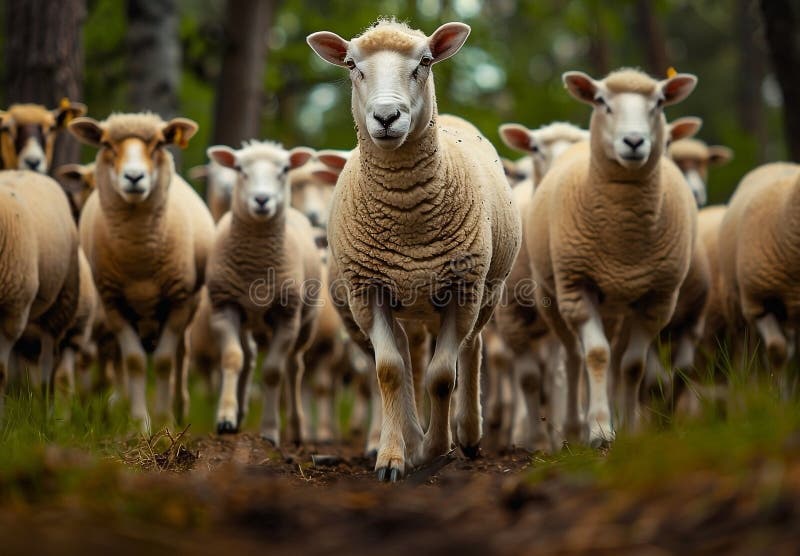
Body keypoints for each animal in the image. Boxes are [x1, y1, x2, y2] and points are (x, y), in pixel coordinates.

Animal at [68, 112, 215, 429]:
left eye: (159, 143)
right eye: (106, 144)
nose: (134, 177)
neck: (139, 260)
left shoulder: (178, 300)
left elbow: (164, 362)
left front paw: (165, 422)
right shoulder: (113, 303)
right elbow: (134, 361)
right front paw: (138, 424)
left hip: (189, 308)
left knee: (180, 357)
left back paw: (179, 408)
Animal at [205, 140, 322, 445]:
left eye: (284, 170)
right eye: (239, 169)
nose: (261, 200)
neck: (256, 264)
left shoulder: (287, 316)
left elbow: (272, 373)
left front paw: (270, 431)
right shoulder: (224, 307)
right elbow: (232, 359)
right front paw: (226, 419)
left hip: (305, 324)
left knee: (293, 367)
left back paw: (297, 429)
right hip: (249, 321)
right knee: (248, 359)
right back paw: (240, 412)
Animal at [307, 19, 521, 480]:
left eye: (424, 61)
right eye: (351, 65)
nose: (387, 117)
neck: (407, 220)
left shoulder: (462, 289)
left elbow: (441, 376)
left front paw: (435, 449)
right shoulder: (368, 291)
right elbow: (391, 370)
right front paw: (394, 454)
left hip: (485, 291)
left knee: (470, 349)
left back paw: (469, 434)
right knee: (409, 358)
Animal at [526, 68, 698, 445]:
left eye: (659, 102)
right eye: (602, 101)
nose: (633, 142)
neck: (624, 239)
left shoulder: (659, 298)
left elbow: (632, 365)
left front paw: (629, 428)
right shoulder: (577, 286)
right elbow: (595, 354)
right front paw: (600, 430)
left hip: (621, 304)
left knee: (618, 358)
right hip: (553, 295)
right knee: (573, 357)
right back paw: (572, 427)